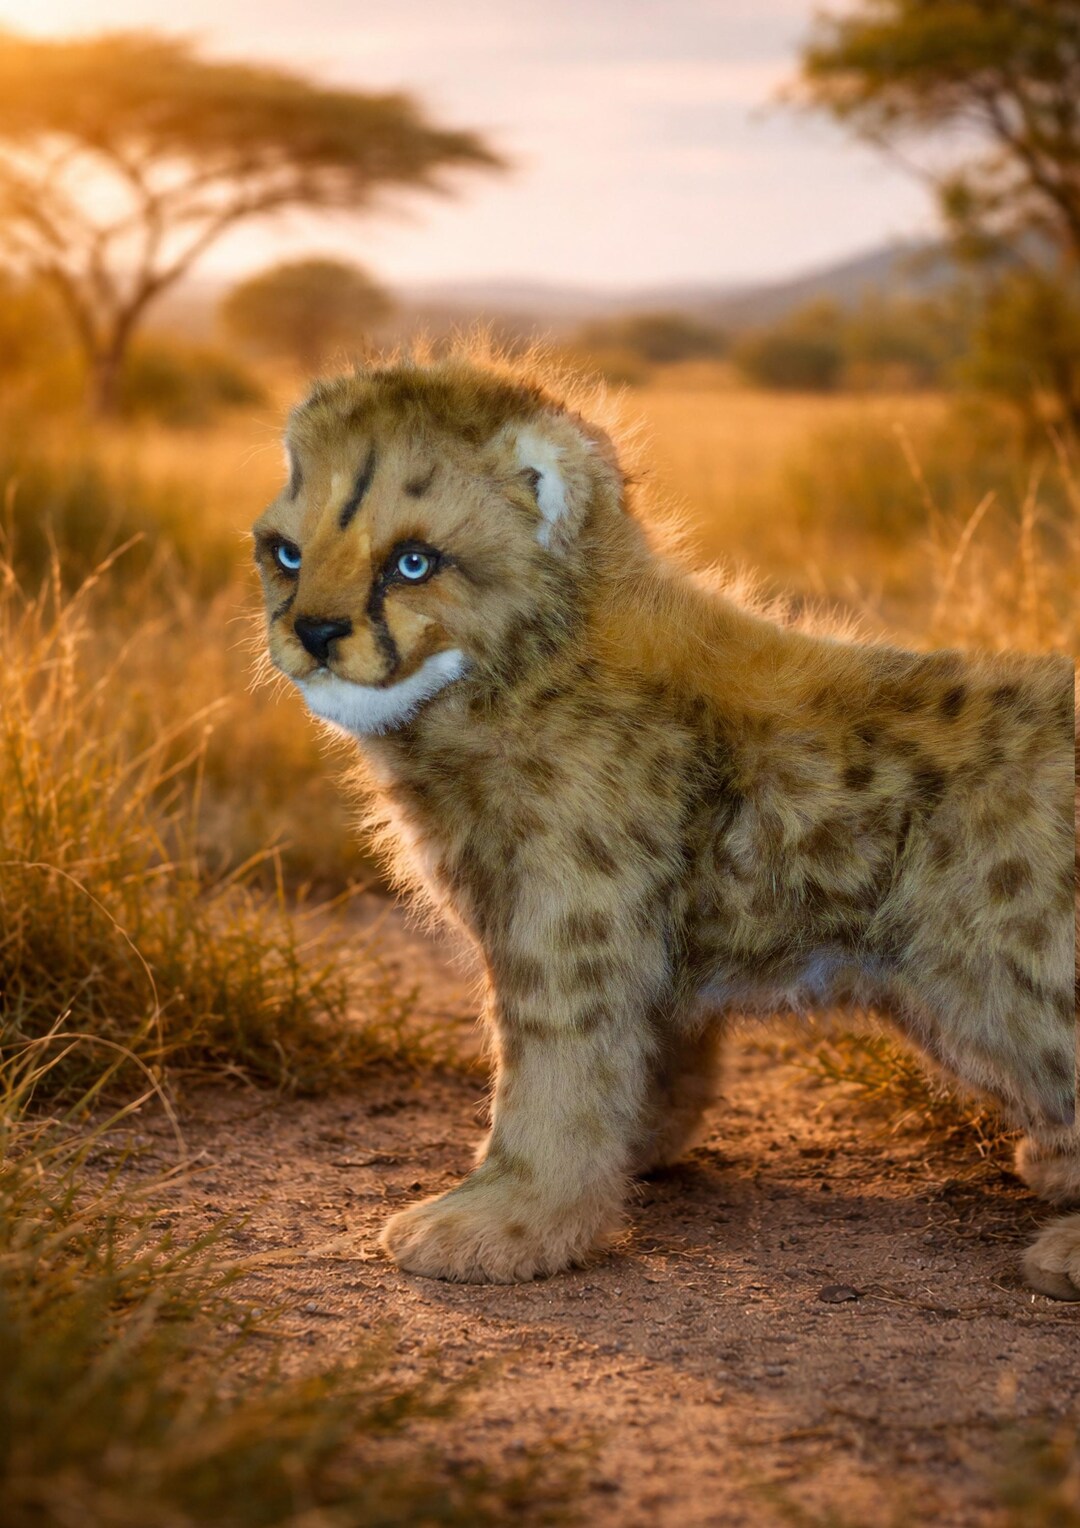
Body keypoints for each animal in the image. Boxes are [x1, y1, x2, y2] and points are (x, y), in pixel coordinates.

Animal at [252, 351, 1078, 1295]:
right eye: (286, 553)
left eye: (415, 562)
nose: (314, 631)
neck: (527, 663)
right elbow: (644, 1065)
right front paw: (629, 1154)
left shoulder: (568, 932)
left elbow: (551, 1078)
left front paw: (507, 1222)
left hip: (992, 971)